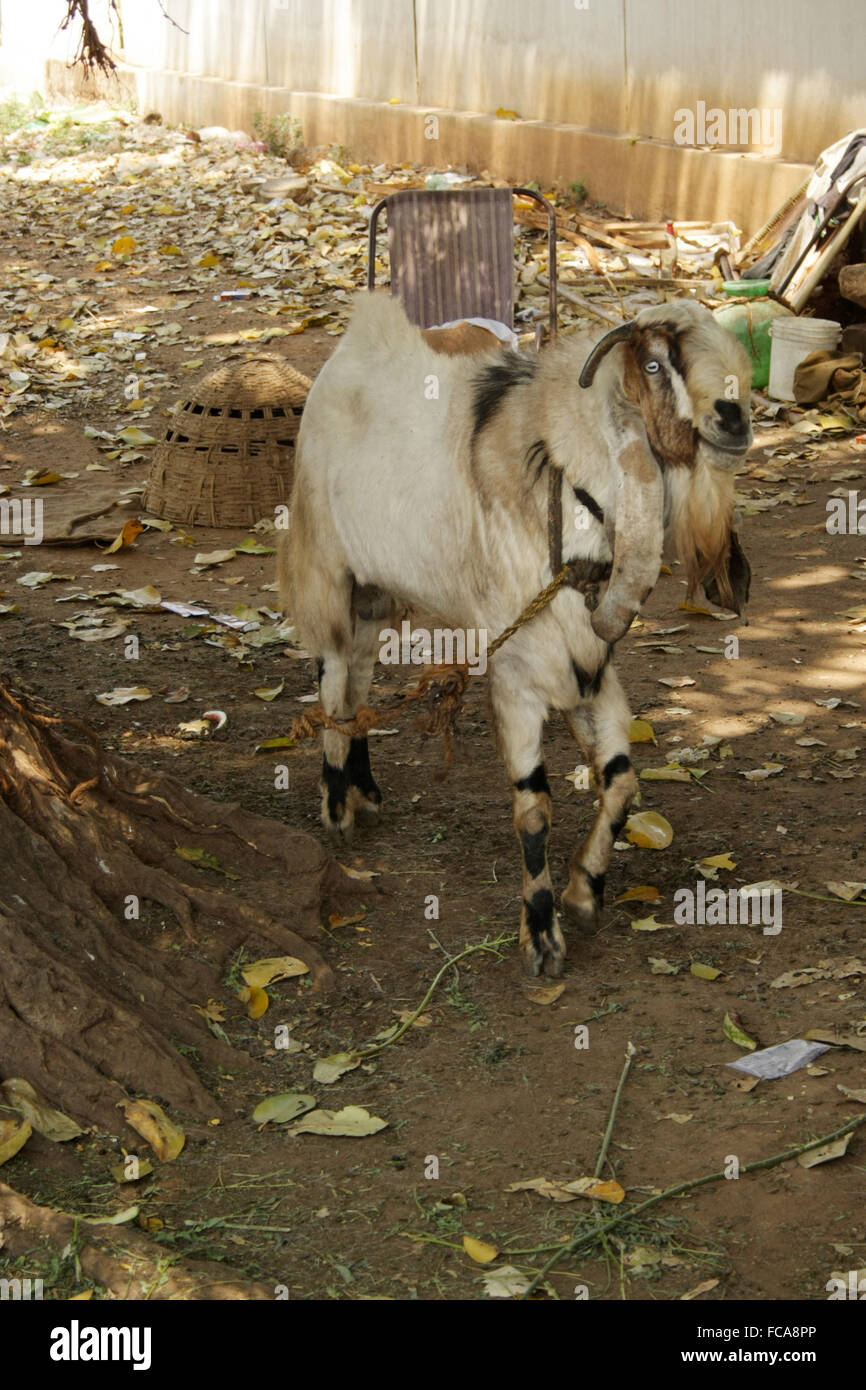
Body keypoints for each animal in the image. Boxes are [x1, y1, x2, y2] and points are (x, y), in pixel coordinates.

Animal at [279, 294, 753, 978]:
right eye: (656, 365)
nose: (734, 419)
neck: (566, 487)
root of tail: (352, 341)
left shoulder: (590, 672)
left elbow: (621, 782)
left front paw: (584, 892)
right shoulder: (519, 677)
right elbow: (534, 810)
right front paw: (542, 936)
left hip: (375, 586)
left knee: (363, 672)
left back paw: (365, 790)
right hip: (328, 565)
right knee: (334, 671)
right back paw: (337, 803)